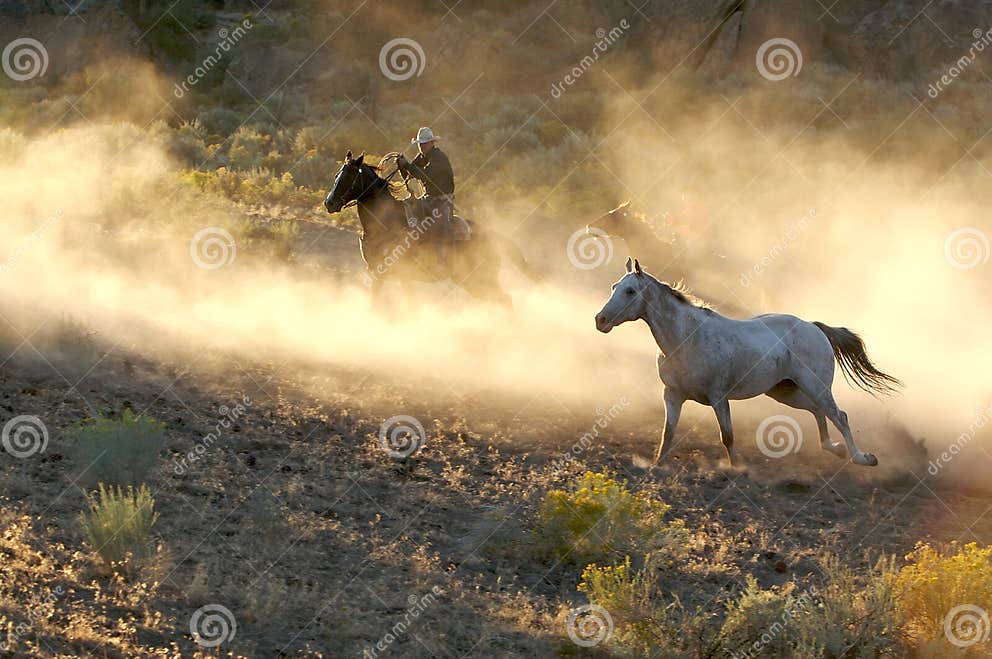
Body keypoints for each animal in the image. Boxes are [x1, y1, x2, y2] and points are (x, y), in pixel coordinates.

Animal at [323, 151, 539, 307]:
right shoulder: (387, 273)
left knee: (505, 300)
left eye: (349, 176)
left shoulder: (385, 273)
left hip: (479, 278)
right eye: (337, 175)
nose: (329, 203)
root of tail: (494, 237)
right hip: (470, 281)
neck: (386, 223)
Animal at [595, 257, 901, 467]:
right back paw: (836, 449)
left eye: (631, 291)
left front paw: (735, 470)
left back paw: (863, 458)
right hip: (786, 391)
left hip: (815, 386)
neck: (685, 338)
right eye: (614, 286)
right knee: (819, 412)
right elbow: (667, 433)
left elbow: (727, 436)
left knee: (839, 416)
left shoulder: (718, 397)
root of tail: (814, 327)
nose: (601, 320)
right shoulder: (673, 394)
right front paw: (657, 465)